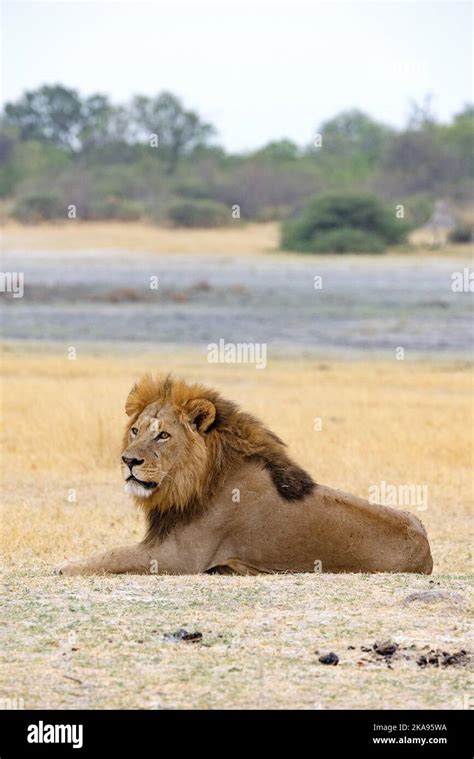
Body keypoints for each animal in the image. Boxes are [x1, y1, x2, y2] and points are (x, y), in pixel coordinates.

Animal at [54, 374, 433, 576]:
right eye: (135, 430)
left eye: (163, 435)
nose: (128, 460)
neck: (194, 481)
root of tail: (428, 551)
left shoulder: (179, 557)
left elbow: (114, 554)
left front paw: (66, 566)